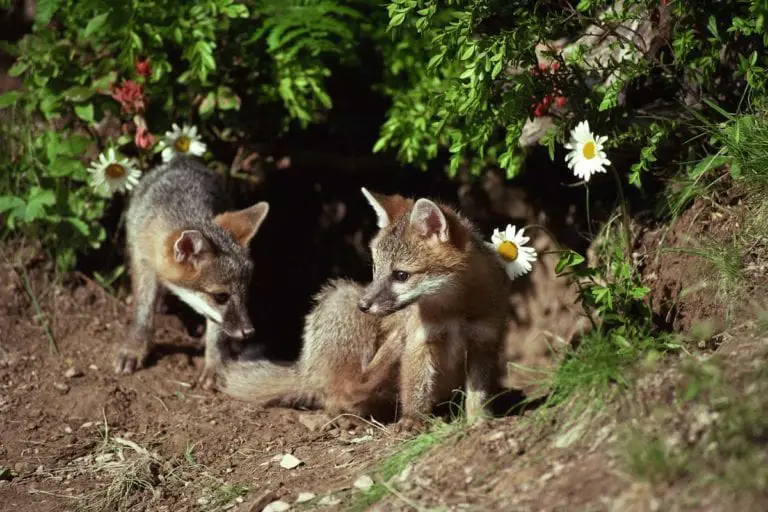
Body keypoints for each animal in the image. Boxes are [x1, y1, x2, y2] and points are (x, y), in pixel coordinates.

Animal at [114, 155, 270, 390]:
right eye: (221, 297)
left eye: (246, 293)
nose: (249, 332)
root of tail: (183, 158)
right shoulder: (143, 262)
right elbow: (142, 311)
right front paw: (134, 347)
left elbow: (216, 332)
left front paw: (214, 363)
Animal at [221, 188, 510, 425]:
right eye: (375, 269)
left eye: (401, 275)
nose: (364, 305)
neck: (455, 310)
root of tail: (304, 369)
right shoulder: (420, 341)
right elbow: (415, 388)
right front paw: (412, 421)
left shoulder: (483, 343)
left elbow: (478, 394)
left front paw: (479, 421)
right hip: (343, 297)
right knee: (346, 391)